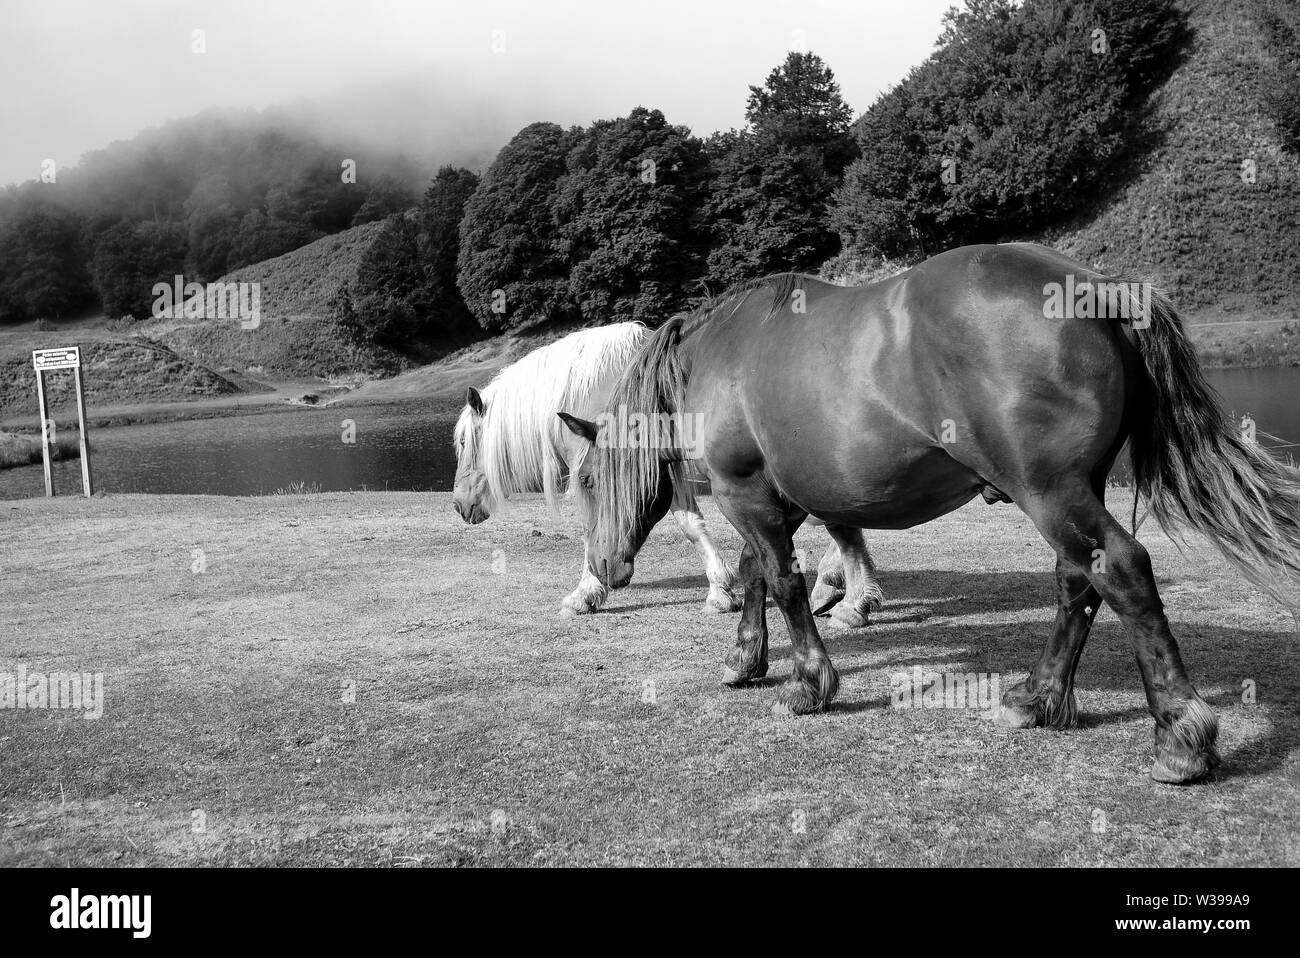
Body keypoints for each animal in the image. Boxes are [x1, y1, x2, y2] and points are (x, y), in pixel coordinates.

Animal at [451, 322, 885, 621]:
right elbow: (684, 522)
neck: (594, 390)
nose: (459, 504)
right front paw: (721, 588)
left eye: (463, 443)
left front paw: (586, 593)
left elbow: (606, 529)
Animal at [559, 243, 1300, 784]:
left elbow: (783, 584)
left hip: (1051, 490)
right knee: (1078, 580)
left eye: (587, 477)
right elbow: (756, 578)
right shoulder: (775, 499)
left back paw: (1179, 737)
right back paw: (1037, 699)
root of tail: (1095, 284)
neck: (721, 353)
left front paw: (808, 684)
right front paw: (745, 659)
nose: (603, 568)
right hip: (1072, 491)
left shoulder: (747, 492)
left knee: (1120, 570)